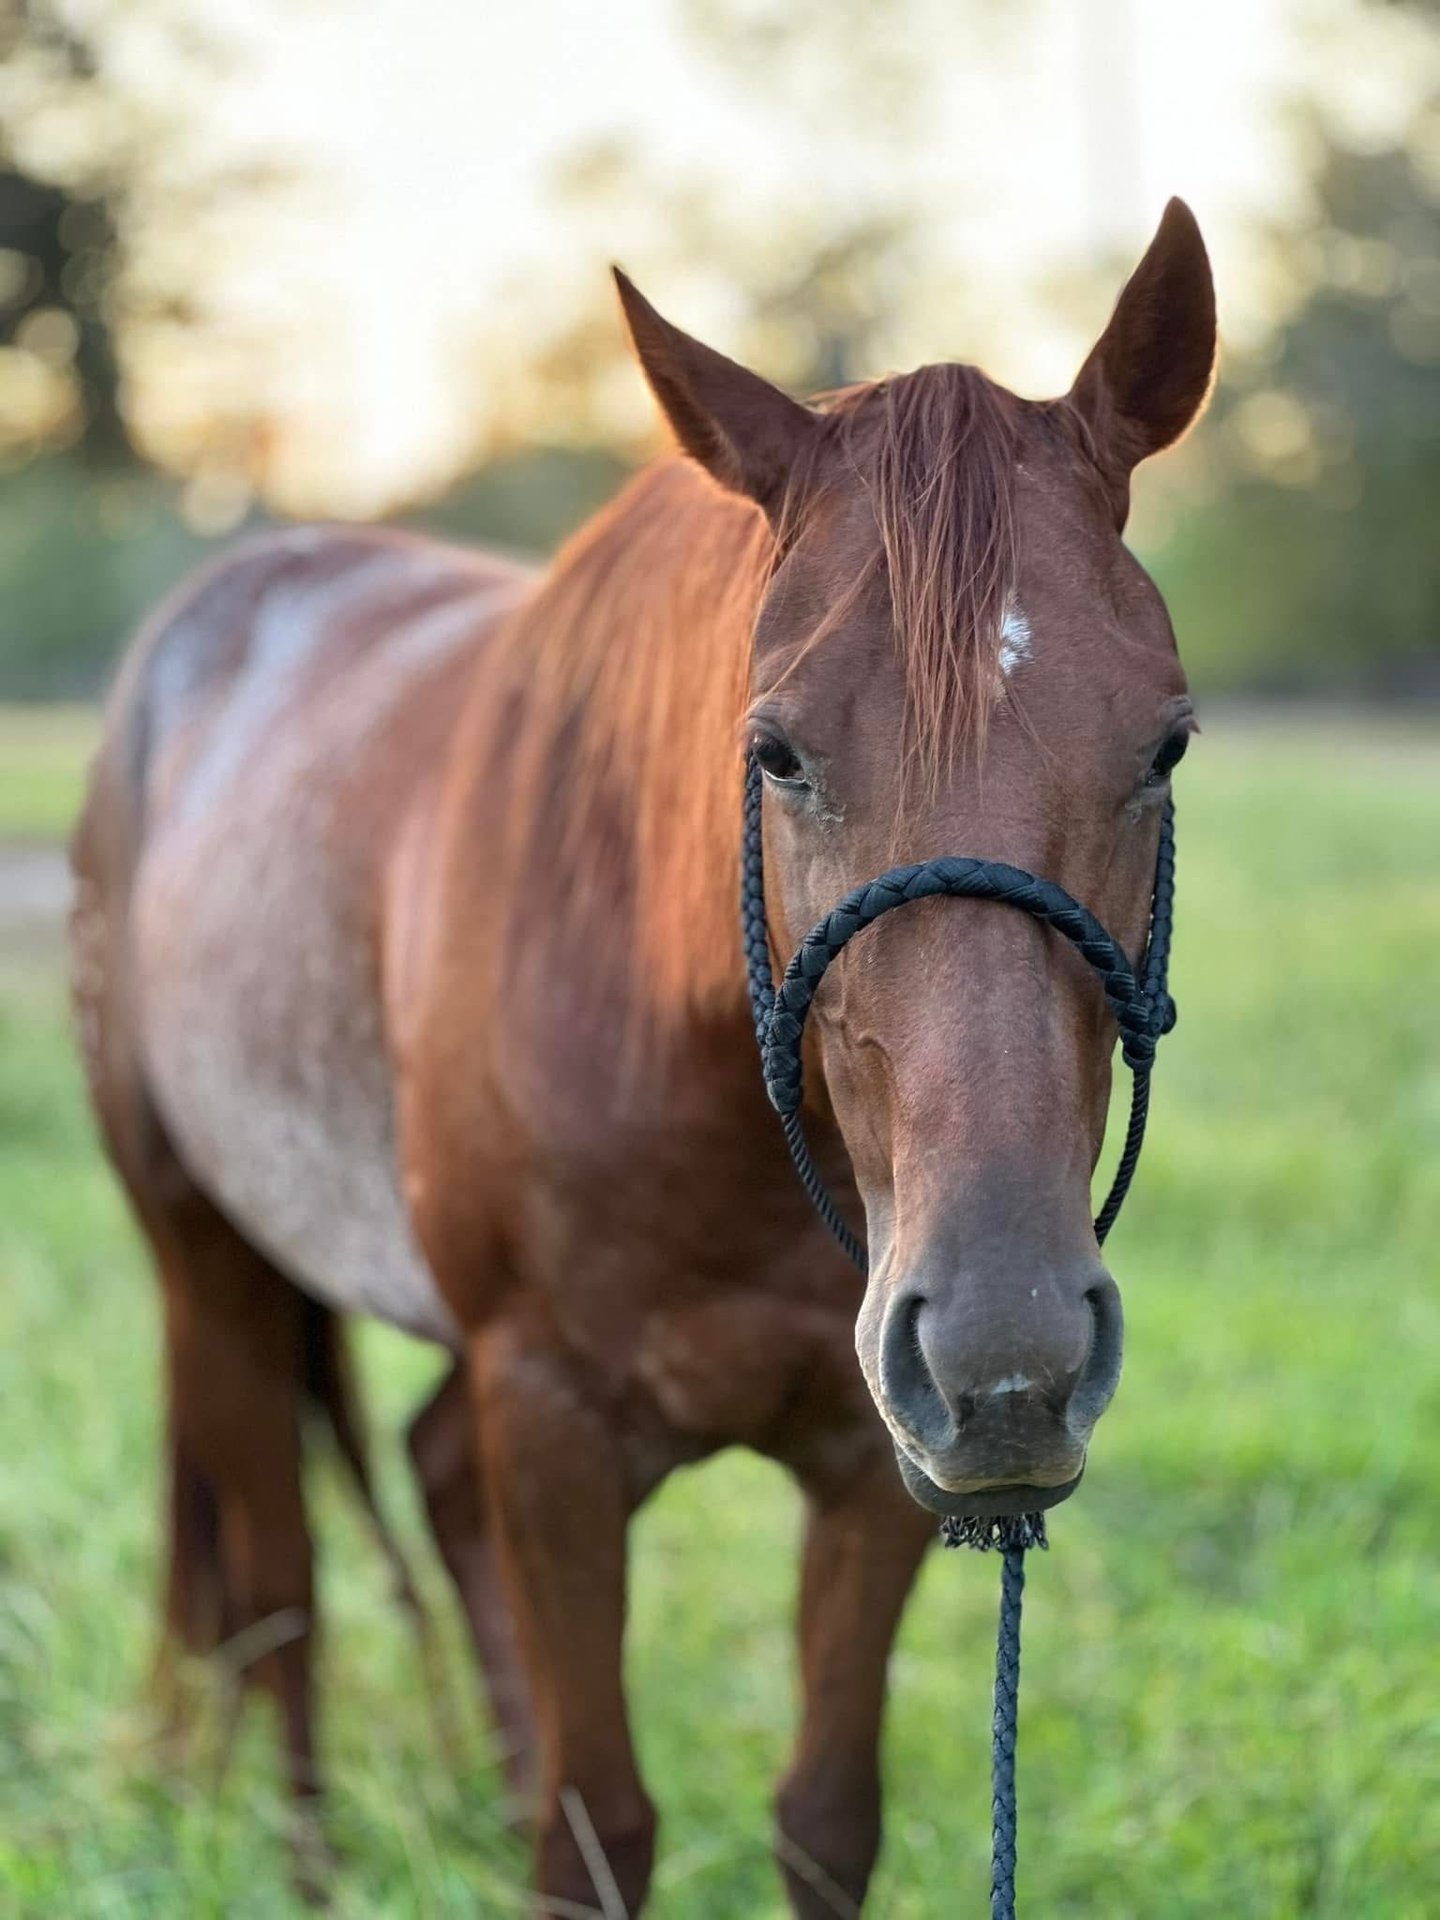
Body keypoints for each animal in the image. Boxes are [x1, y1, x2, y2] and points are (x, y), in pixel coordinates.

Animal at [70, 198, 1215, 1915]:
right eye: (777, 751)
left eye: (1165, 742)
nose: (1008, 1353)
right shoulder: (552, 1420)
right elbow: (595, 1823)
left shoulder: (872, 1454)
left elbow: (822, 1819)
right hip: (205, 1259)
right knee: (279, 1590)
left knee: (421, 1486)